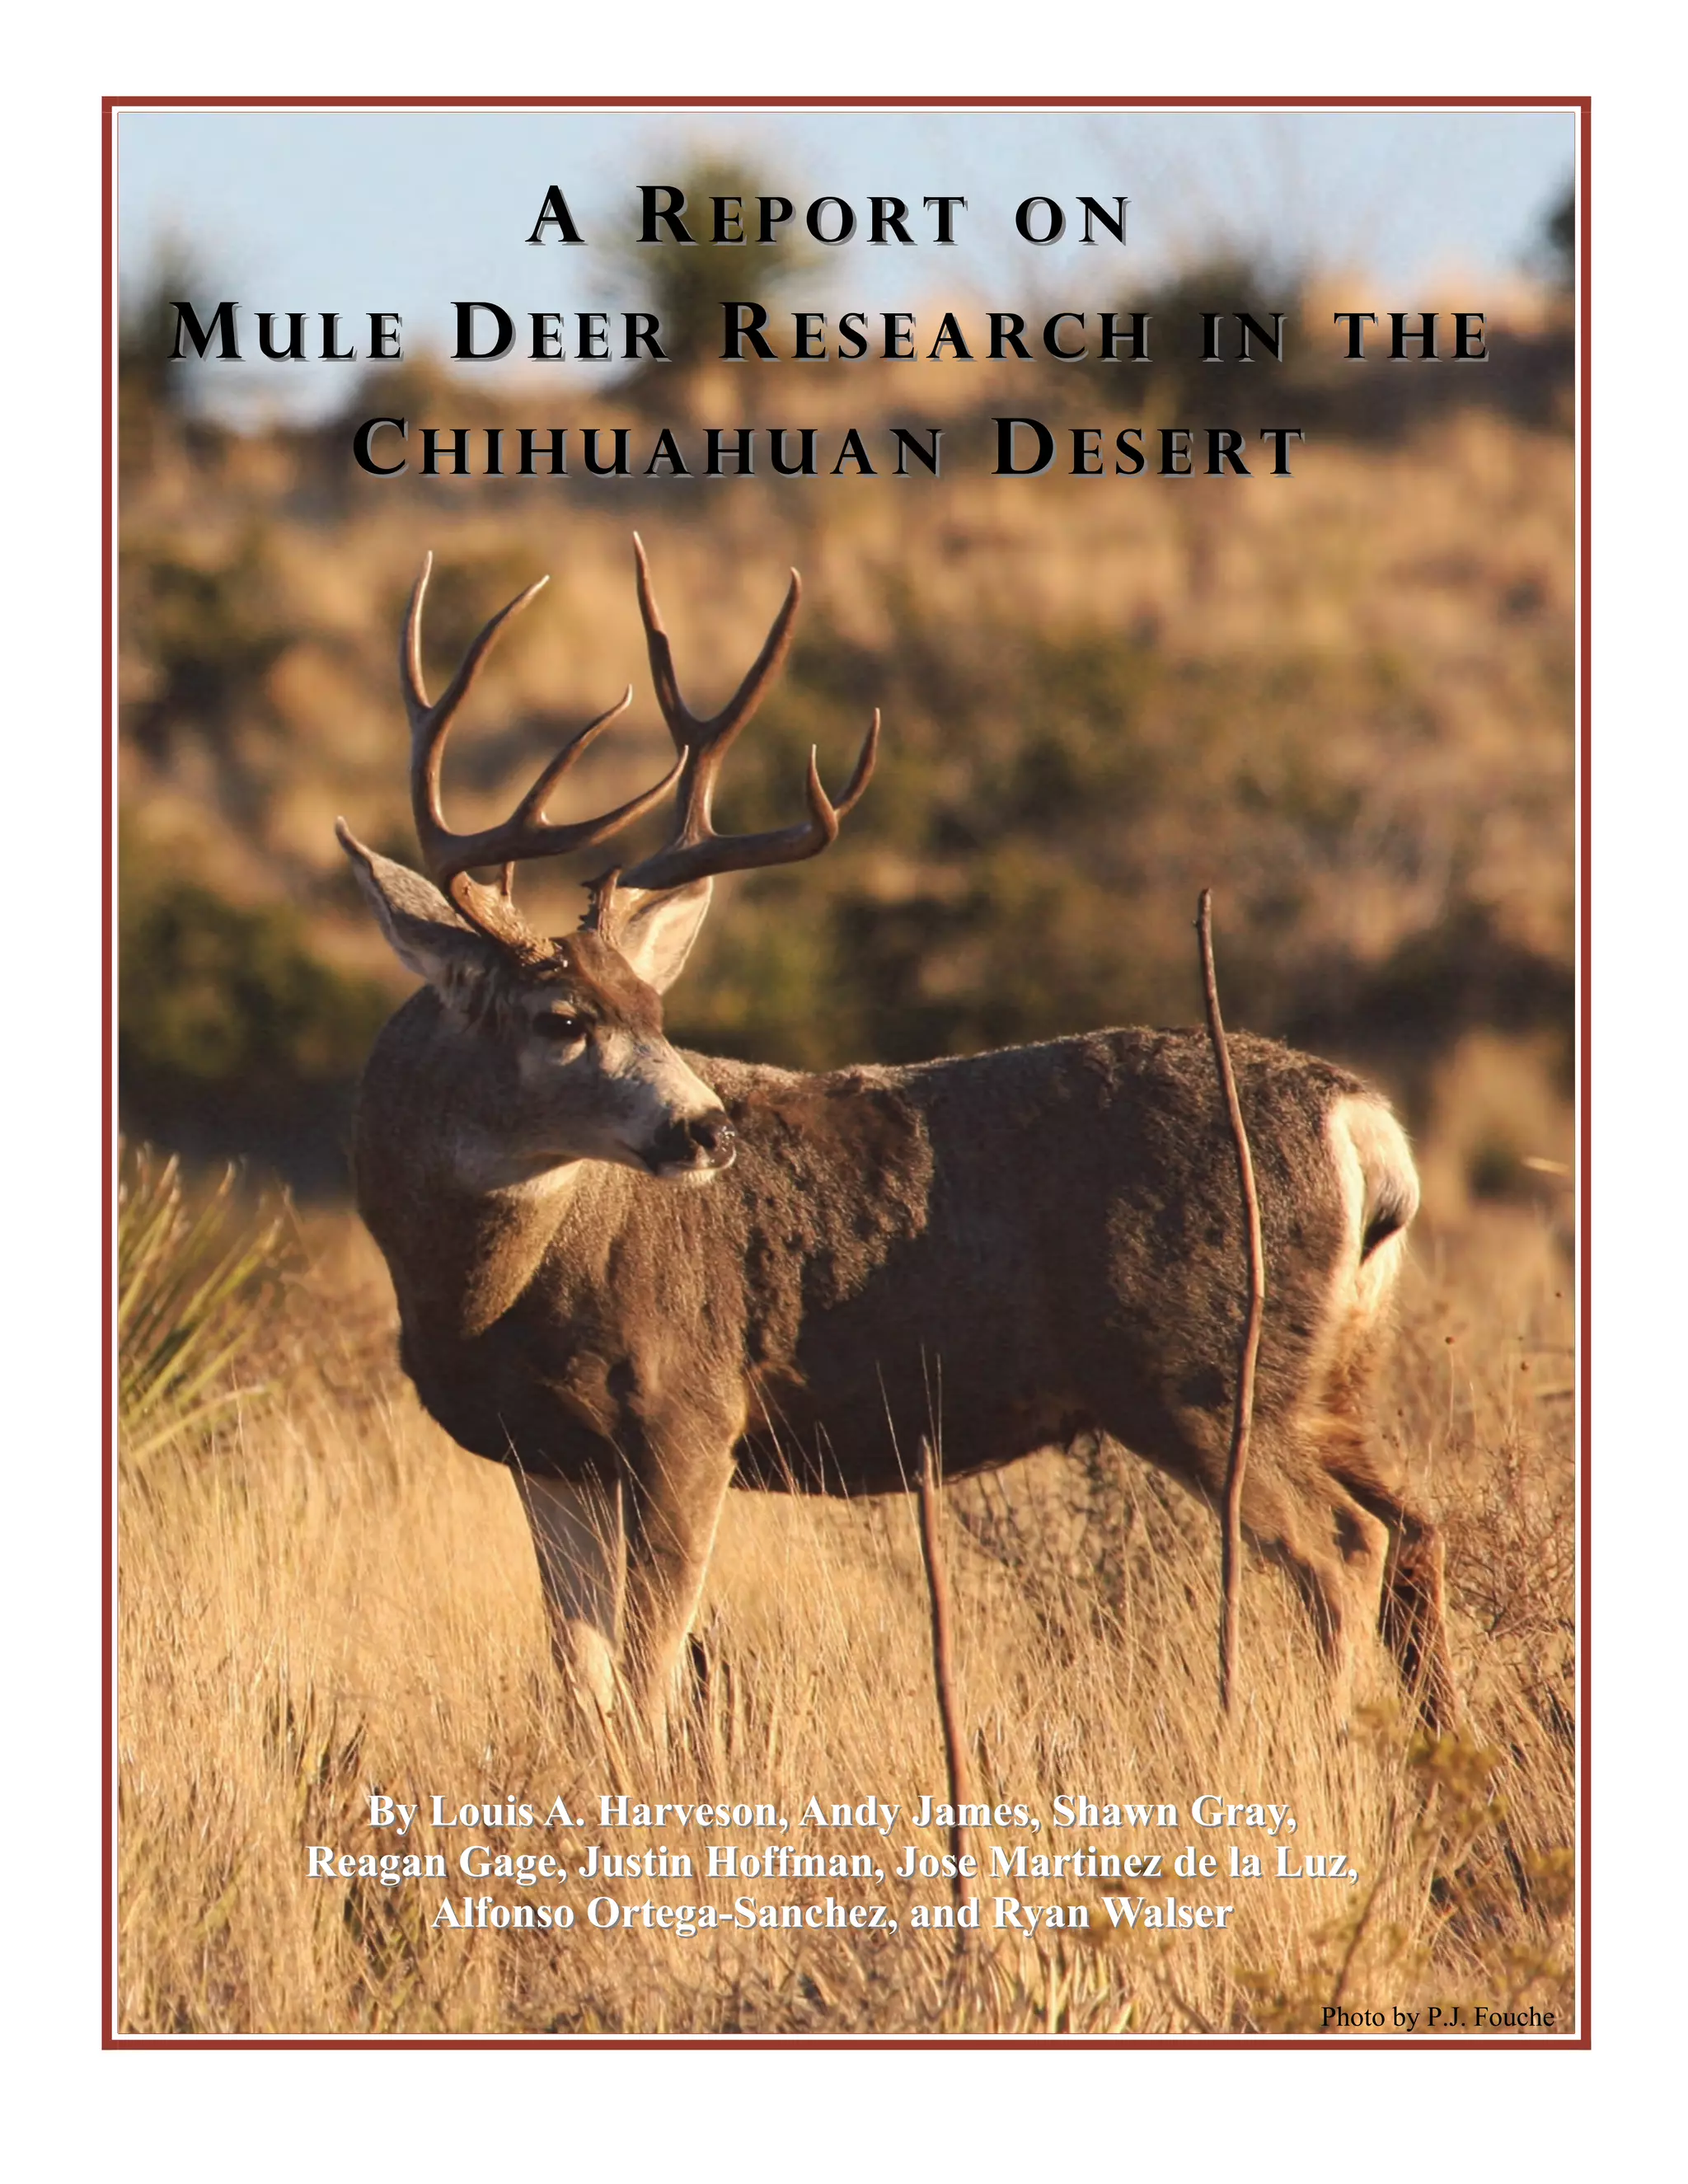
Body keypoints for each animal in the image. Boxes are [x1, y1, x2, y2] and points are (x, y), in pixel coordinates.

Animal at [335, 538, 1457, 1740]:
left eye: (655, 1008)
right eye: (562, 1018)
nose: (707, 1128)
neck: (487, 1293)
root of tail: (1364, 1125)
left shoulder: (689, 1410)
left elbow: (646, 1676)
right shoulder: (544, 1454)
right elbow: (583, 1682)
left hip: (1203, 1369)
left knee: (1342, 1548)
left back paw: (1311, 1741)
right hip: (1325, 1373)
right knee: (1414, 1525)